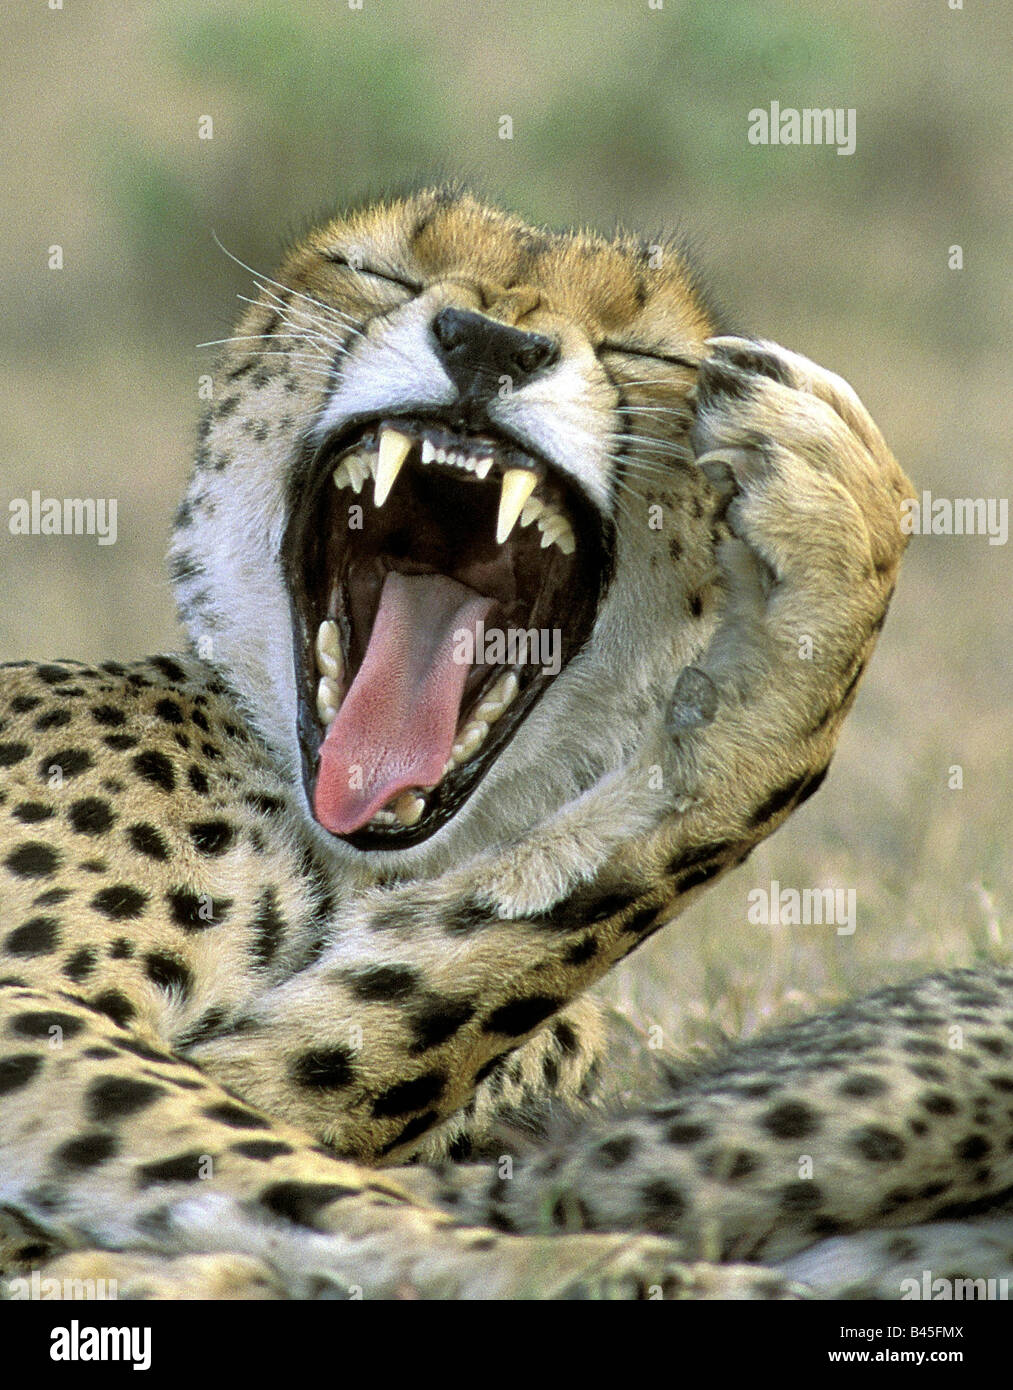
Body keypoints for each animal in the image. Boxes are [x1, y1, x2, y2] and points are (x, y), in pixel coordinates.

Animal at [1, 185, 1010, 1301]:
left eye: (639, 350)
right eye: (378, 272)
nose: (487, 344)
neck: (352, 855)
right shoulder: (33, 1011)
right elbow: (294, 1172)